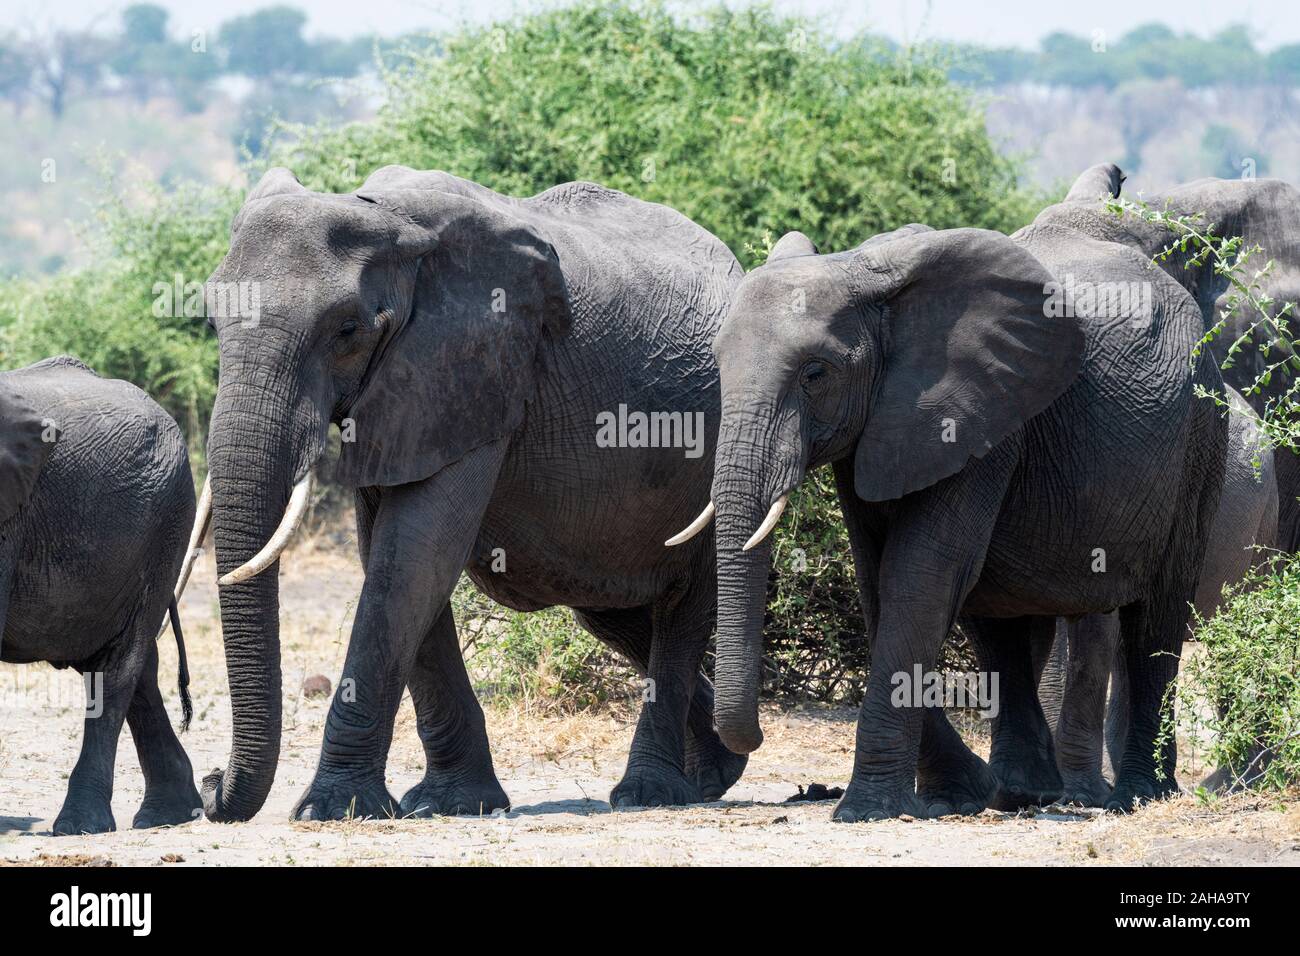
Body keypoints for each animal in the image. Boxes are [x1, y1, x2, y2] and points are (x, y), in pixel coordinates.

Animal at [195, 166, 745, 823]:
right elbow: (393, 557)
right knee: (615, 616)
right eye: (212, 324)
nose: (209, 783)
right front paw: (453, 802)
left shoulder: (474, 370)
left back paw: (651, 793)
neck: (393, 225)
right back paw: (715, 771)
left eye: (347, 331)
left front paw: (331, 809)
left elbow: (414, 557)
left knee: (684, 603)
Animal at [671, 214, 1226, 821]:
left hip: (1200, 437)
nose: (754, 739)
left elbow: (920, 579)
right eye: (718, 364)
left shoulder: (976, 418)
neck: (863, 275)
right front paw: (955, 795)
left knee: (1157, 617)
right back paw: (1022, 794)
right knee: (998, 623)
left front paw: (866, 810)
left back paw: (1138, 796)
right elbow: (881, 584)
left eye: (816, 373)